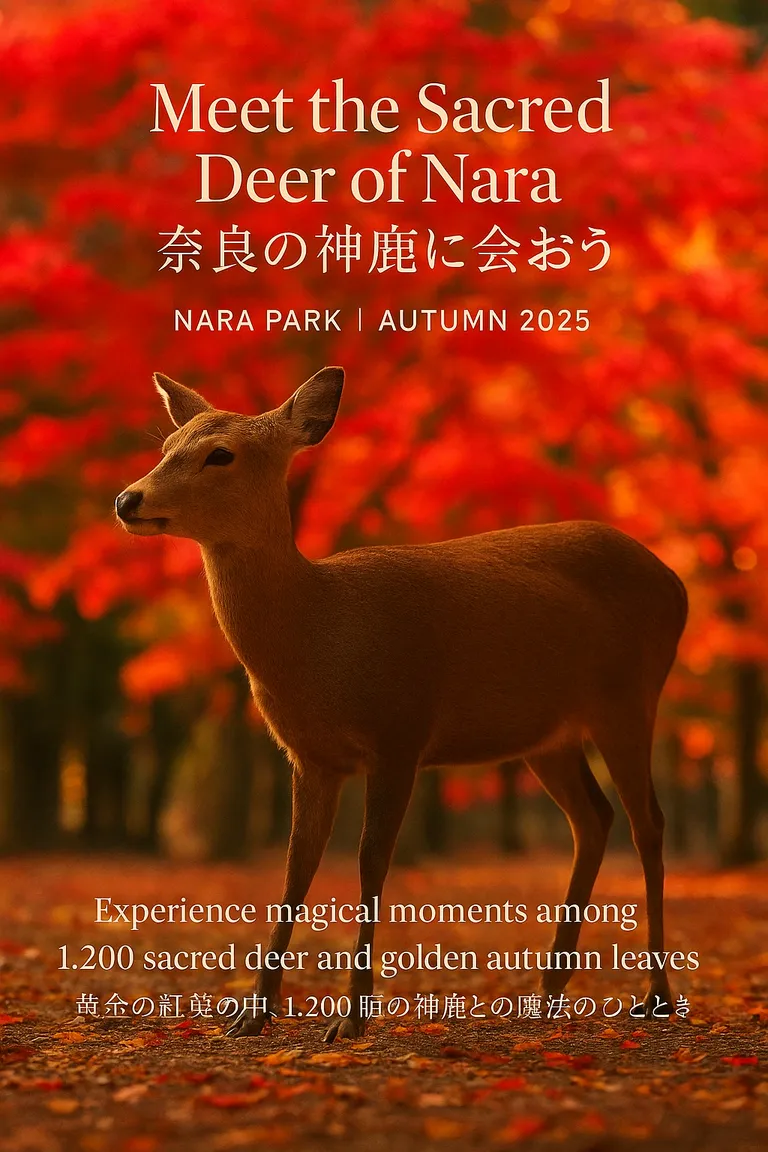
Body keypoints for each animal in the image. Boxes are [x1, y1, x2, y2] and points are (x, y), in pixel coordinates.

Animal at [115, 366, 688, 1042]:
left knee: (649, 821)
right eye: (164, 446)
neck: (320, 635)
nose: (128, 500)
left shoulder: (400, 731)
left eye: (220, 453)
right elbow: (294, 868)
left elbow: (371, 861)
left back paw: (656, 994)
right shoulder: (310, 756)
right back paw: (547, 989)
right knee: (593, 818)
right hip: (548, 735)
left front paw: (351, 1018)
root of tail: (675, 583)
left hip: (631, 697)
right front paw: (253, 1014)